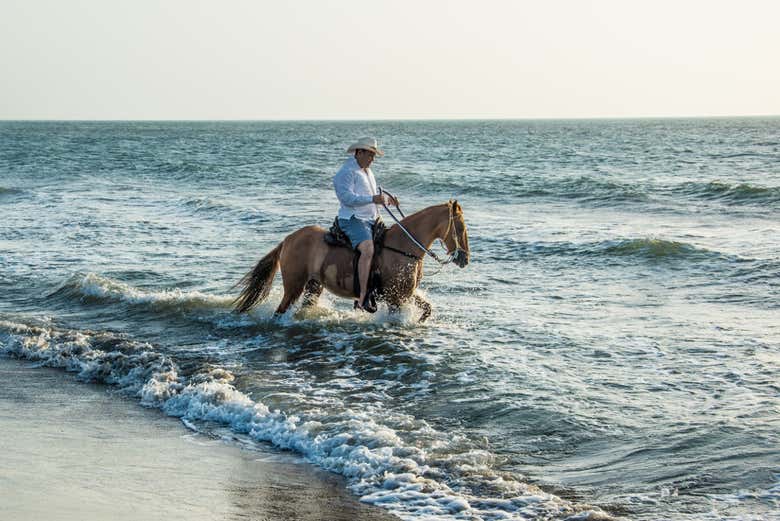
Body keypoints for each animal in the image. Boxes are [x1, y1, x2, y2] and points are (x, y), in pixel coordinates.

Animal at [233, 201, 470, 322]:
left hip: (313, 286)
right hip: (293, 286)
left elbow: (427, 308)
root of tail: (287, 240)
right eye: (460, 227)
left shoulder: (406, 292)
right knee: (280, 311)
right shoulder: (395, 297)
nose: (464, 259)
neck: (404, 246)